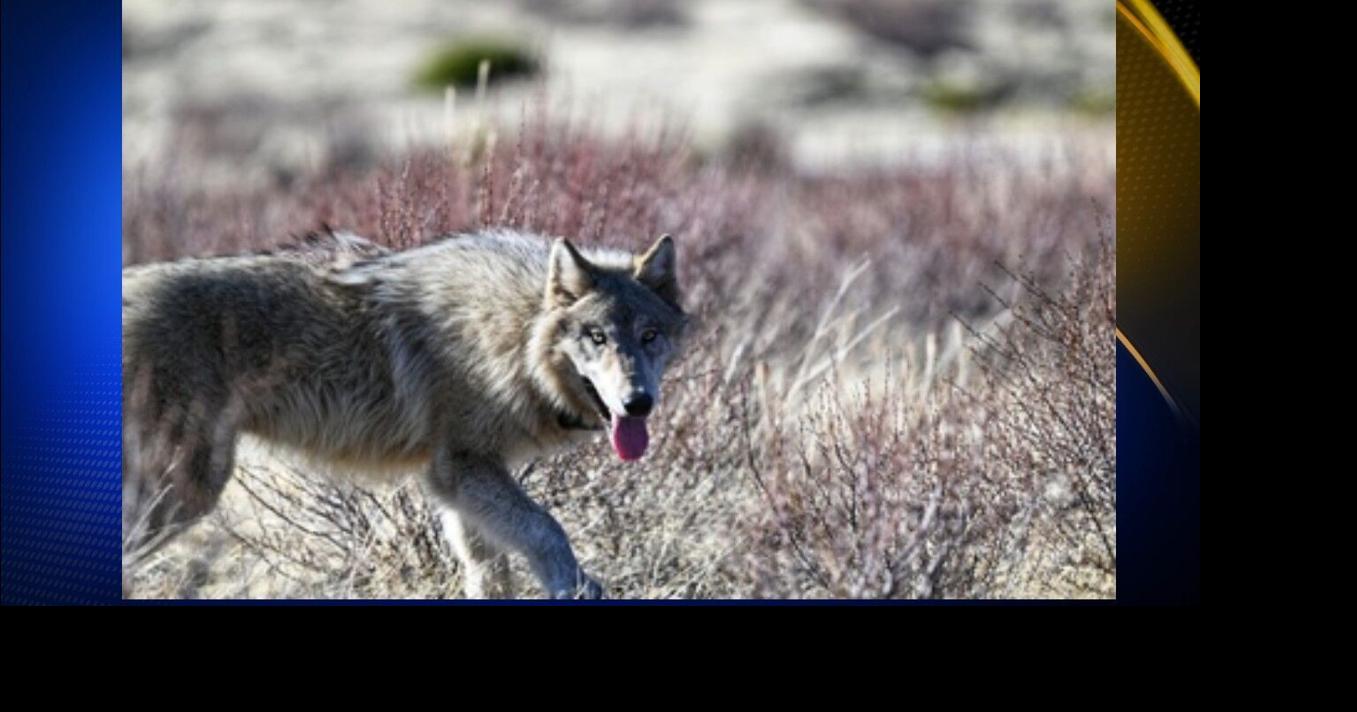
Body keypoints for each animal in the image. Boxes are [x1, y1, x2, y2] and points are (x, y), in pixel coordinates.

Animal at [122, 228, 687, 599]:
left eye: (649, 336)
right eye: (597, 337)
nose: (638, 402)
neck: (512, 333)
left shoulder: (457, 485)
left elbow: (489, 569)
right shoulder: (461, 467)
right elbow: (547, 529)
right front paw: (574, 586)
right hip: (185, 491)